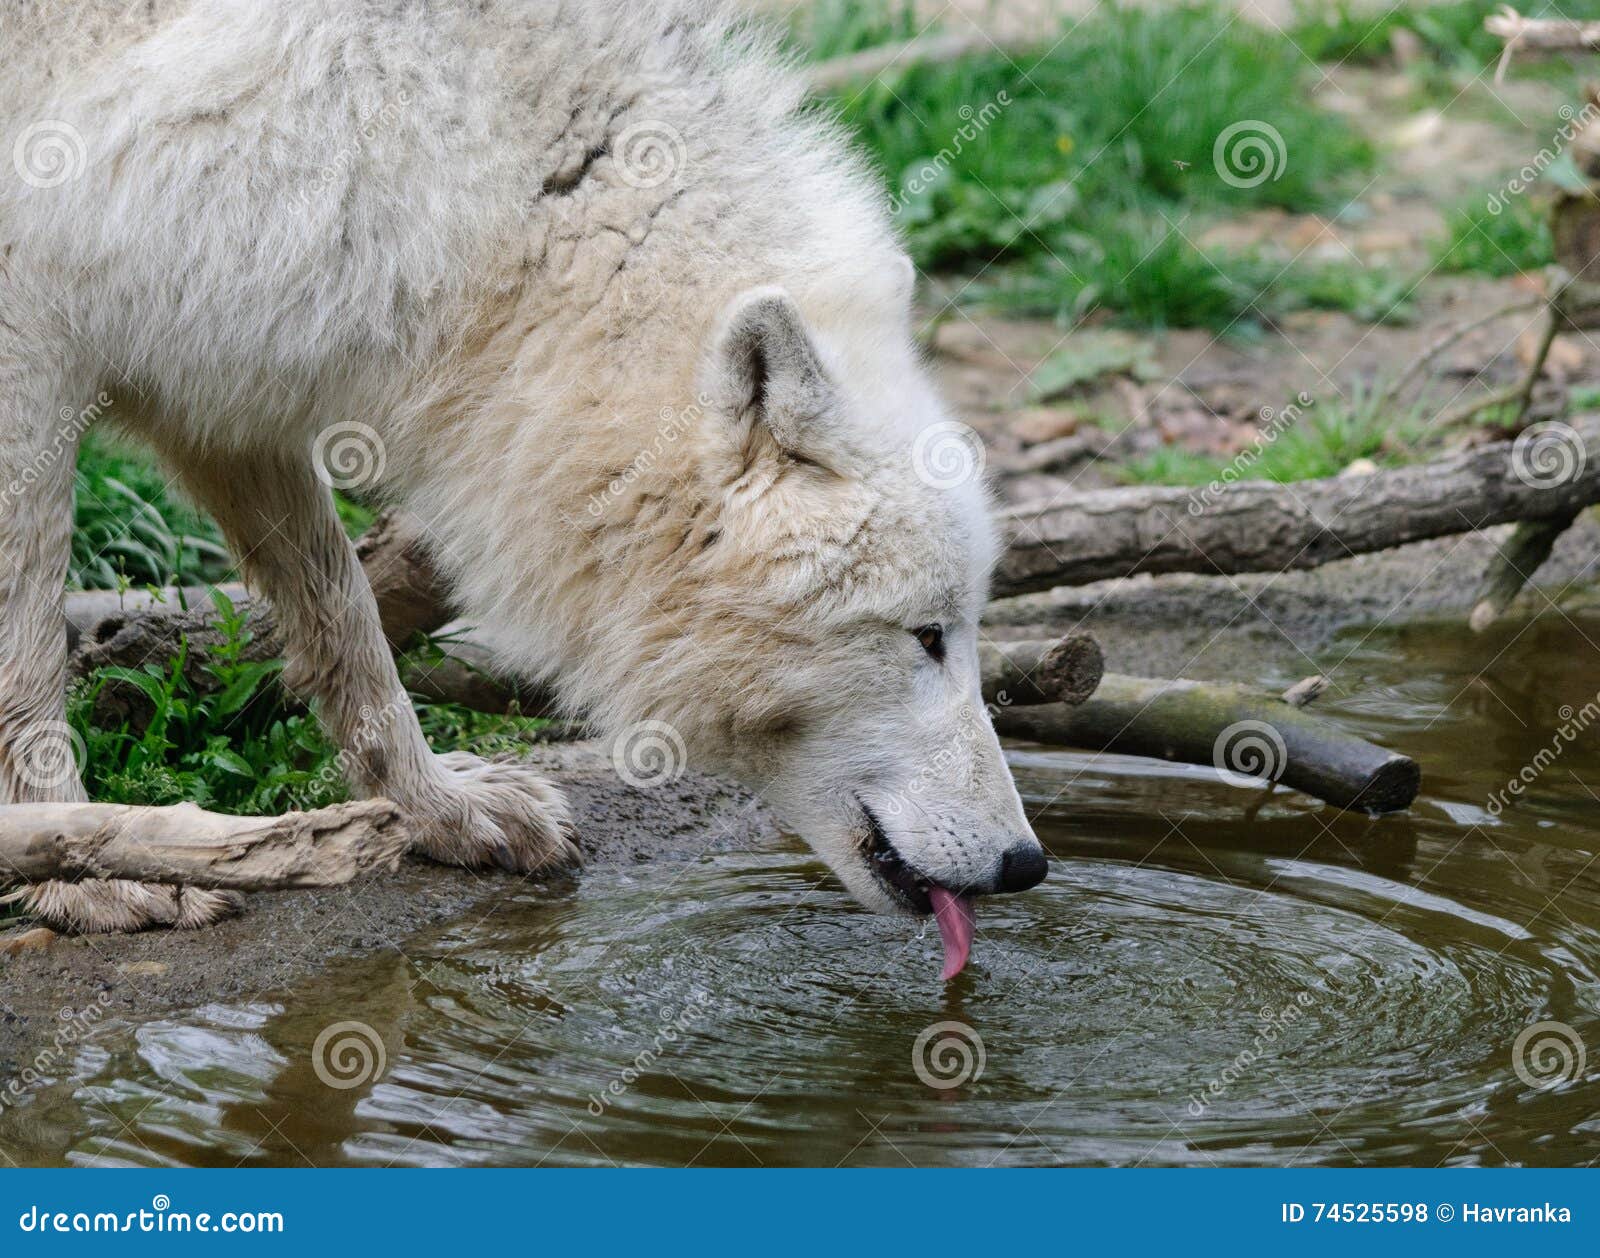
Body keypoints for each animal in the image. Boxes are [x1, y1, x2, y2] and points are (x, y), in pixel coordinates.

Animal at [0, 0, 1045, 973]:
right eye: (926, 636)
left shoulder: (220, 366)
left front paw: (436, 810)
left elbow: (346, 615)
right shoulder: (33, 346)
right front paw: (85, 873)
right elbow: (27, 647)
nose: (1028, 863)